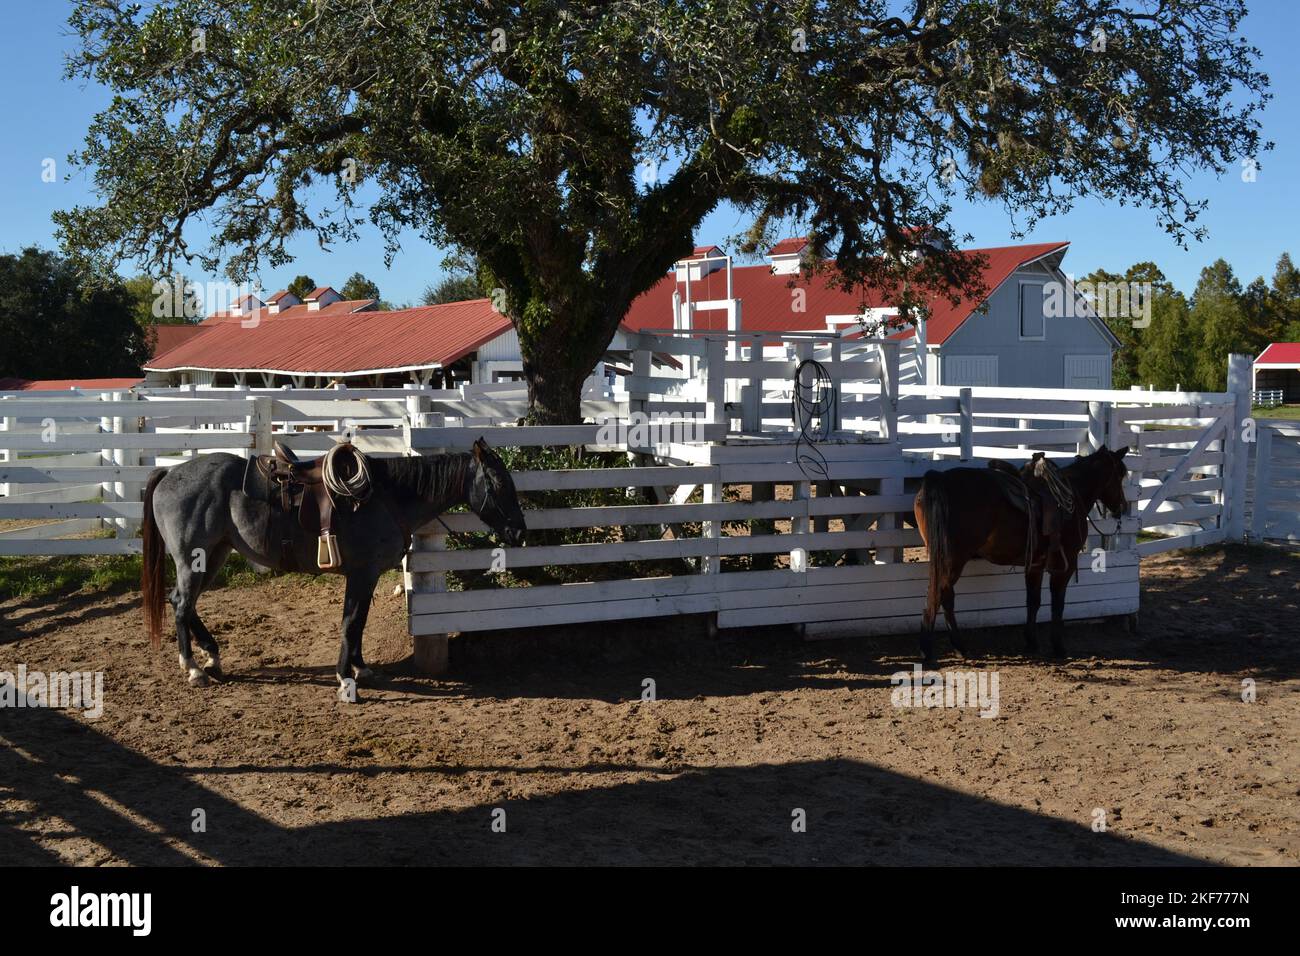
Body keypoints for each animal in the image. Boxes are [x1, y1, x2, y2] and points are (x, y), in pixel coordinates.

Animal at [140, 437, 526, 699]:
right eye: (499, 483)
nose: (519, 532)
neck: (385, 497)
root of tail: (170, 472)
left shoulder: (366, 577)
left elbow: (358, 623)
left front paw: (361, 667)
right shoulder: (362, 573)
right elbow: (350, 622)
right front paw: (345, 677)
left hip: (215, 555)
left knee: (184, 603)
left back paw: (211, 657)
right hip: (193, 558)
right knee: (182, 604)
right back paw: (193, 668)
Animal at [911, 445, 1130, 667]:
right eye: (1121, 473)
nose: (1122, 507)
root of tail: (940, 479)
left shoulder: (1035, 564)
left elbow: (1033, 601)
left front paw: (1031, 642)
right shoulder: (1066, 564)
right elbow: (1057, 604)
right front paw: (1058, 647)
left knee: (944, 596)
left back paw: (958, 647)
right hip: (953, 559)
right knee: (939, 594)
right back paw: (928, 651)